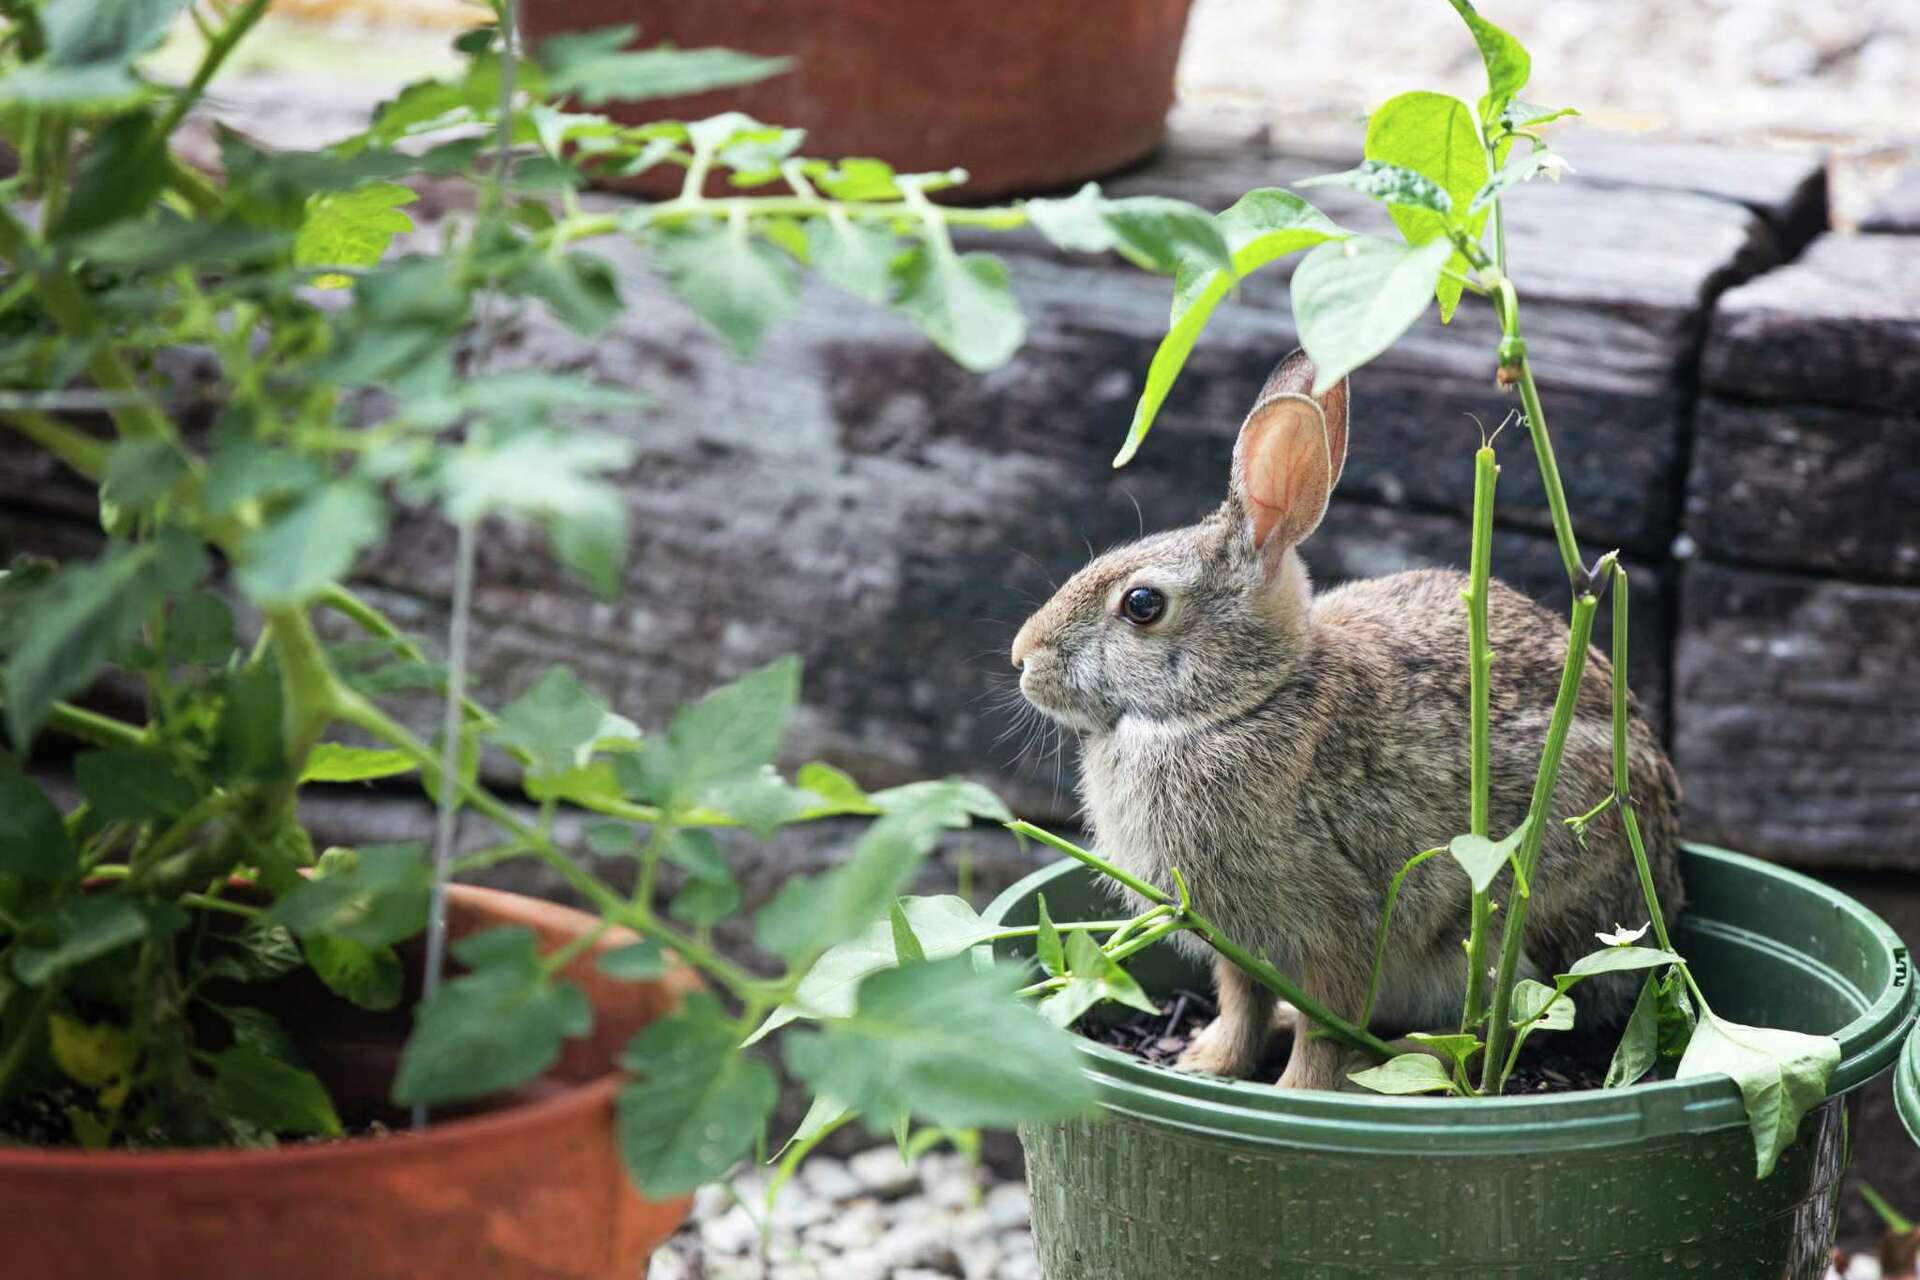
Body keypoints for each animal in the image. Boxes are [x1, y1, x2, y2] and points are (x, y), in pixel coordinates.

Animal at [1009, 349, 1684, 1090]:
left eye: (1142, 604)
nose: (1022, 658)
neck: (1243, 701)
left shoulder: (1342, 925)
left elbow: (1325, 1024)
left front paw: (1295, 1091)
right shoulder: (1237, 942)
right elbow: (1240, 1001)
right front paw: (1208, 1064)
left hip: (1521, 915)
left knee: (1508, 1023)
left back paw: (1398, 1063)